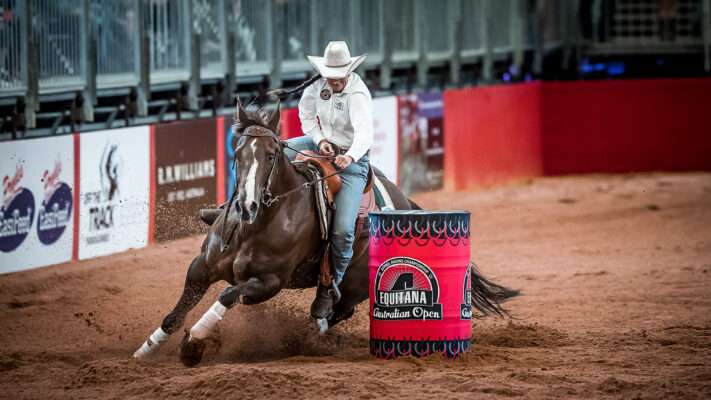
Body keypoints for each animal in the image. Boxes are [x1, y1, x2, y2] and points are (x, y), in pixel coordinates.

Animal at [133, 100, 519, 366]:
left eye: (272, 154)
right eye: (237, 153)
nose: (247, 205)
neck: (256, 226)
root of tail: (405, 201)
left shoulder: (267, 284)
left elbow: (227, 296)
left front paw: (192, 345)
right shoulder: (201, 266)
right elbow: (174, 314)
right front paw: (143, 351)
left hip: (355, 286)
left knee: (334, 310)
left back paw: (310, 337)